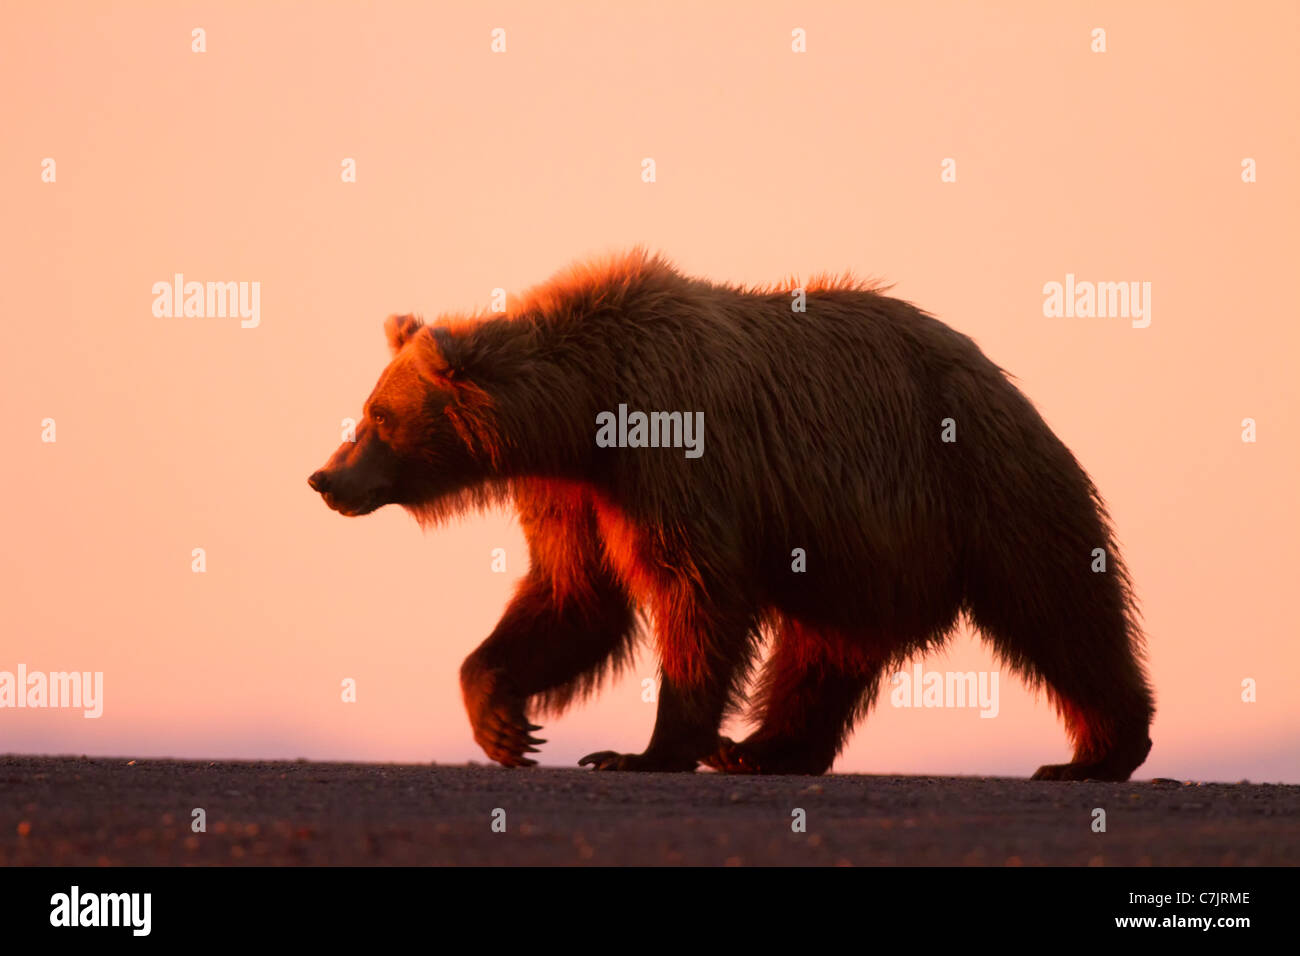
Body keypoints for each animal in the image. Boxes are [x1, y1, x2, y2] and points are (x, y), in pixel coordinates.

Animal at [308, 249, 1154, 780]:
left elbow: (695, 588)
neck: (582, 413)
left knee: (1058, 606)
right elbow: (573, 595)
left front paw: (641, 750)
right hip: (859, 542)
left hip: (979, 478)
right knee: (826, 647)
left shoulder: (671, 453)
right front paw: (503, 720)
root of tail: (998, 373)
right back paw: (764, 748)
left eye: (378, 415)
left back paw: (1097, 752)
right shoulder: (573, 489)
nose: (324, 478)